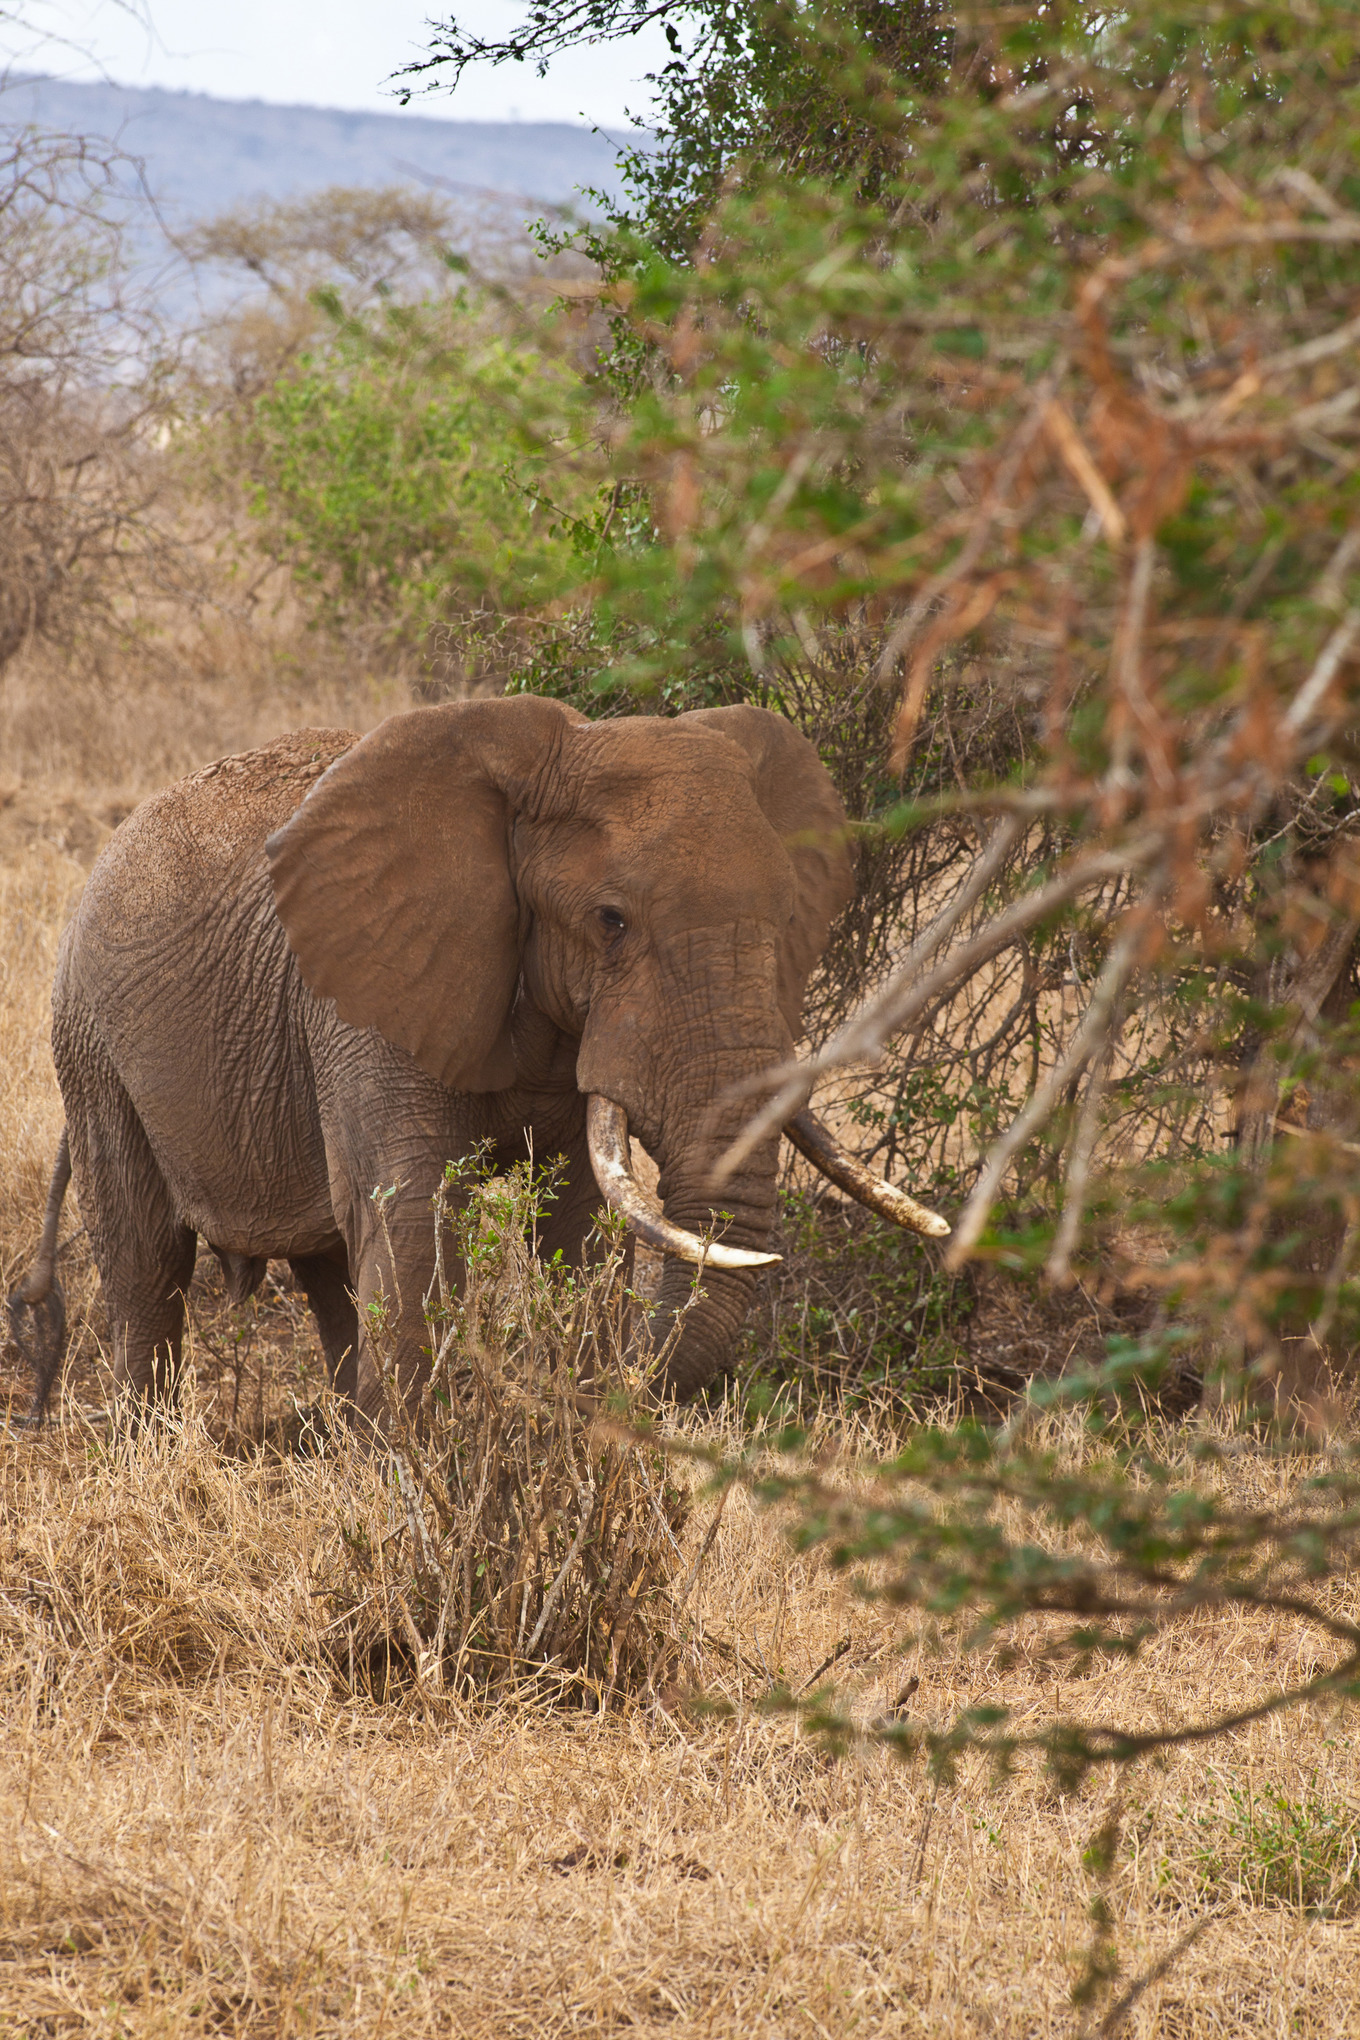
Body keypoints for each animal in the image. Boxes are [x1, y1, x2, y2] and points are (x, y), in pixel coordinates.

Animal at [7, 694, 948, 1428]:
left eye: (788, 918)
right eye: (611, 921)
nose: (633, 1393)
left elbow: (578, 1224)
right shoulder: (366, 993)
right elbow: (412, 1215)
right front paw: (426, 1479)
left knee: (328, 1265)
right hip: (89, 1038)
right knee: (147, 1257)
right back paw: (154, 1445)